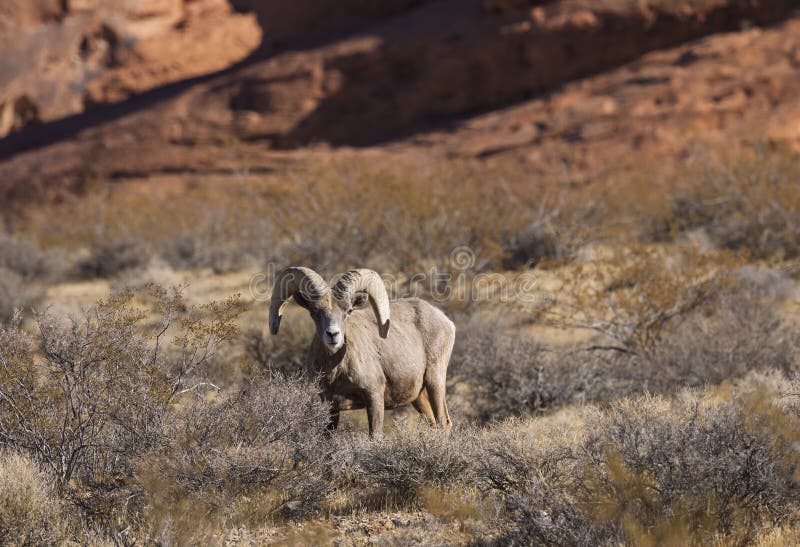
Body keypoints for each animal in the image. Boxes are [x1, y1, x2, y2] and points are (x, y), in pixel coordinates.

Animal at [269, 267, 455, 437]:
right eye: (314, 312)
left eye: (348, 311)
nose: (333, 335)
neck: (335, 371)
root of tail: (446, 321)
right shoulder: (330, 406)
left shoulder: (374, 397)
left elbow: (375, 436)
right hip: (419, 396)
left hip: (435, 380)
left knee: (443, 423)